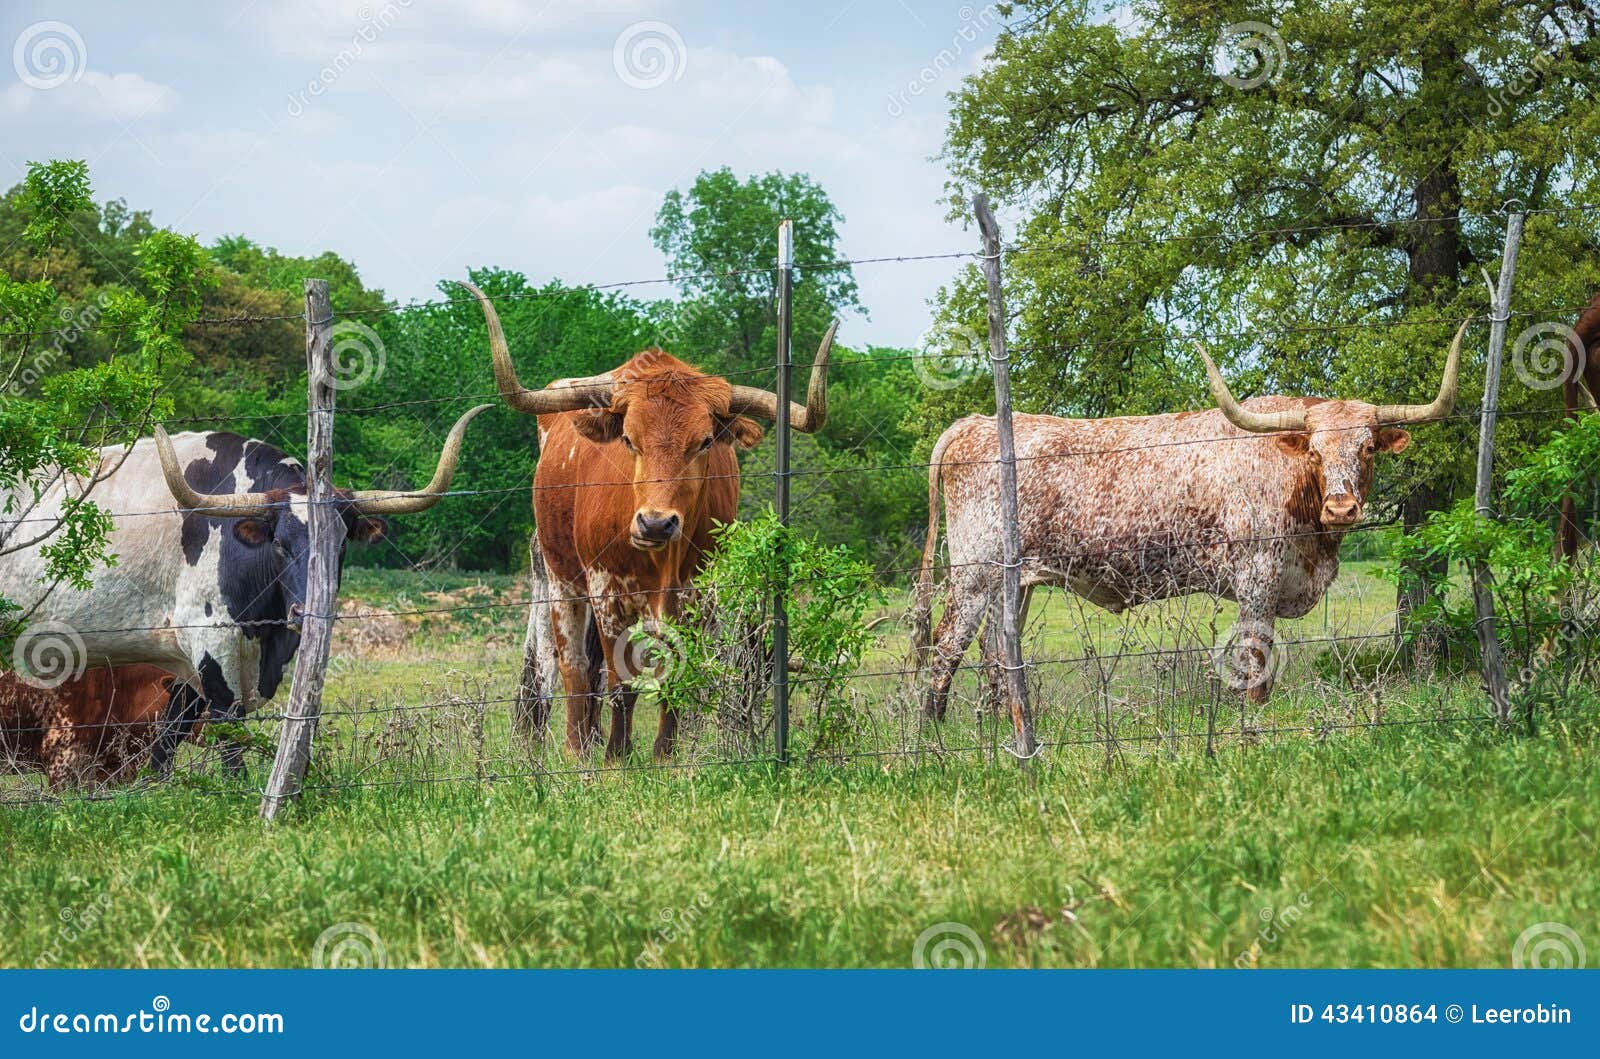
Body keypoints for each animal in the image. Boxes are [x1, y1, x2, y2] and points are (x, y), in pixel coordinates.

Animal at [0, 406, 488, 772]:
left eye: (342, 543)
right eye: (280, 543)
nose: (307, 612)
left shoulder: (187, 666)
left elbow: (169, 736)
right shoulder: (213, 647)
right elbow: (228, 735)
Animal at [458, 281, 835, 761]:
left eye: (705, 441)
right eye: (628, 438)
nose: (655, 524)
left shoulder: (698, 595)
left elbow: (677, 676)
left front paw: (664, 755)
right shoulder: (607, 590)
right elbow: (620, 681)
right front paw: (617, 757)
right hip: (561, 578)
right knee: (574, 667)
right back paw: (579, 748)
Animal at [911, 322, 1467, 720]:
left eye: (1368, 448)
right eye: (1314, 449)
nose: (1342, 508)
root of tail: (974, 424)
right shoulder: (1257, 580)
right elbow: (1256, 664)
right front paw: (1252, 724)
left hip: (1015, 583)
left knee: (996, 651)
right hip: (974, 573)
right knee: (946, 647)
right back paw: (935, 741)